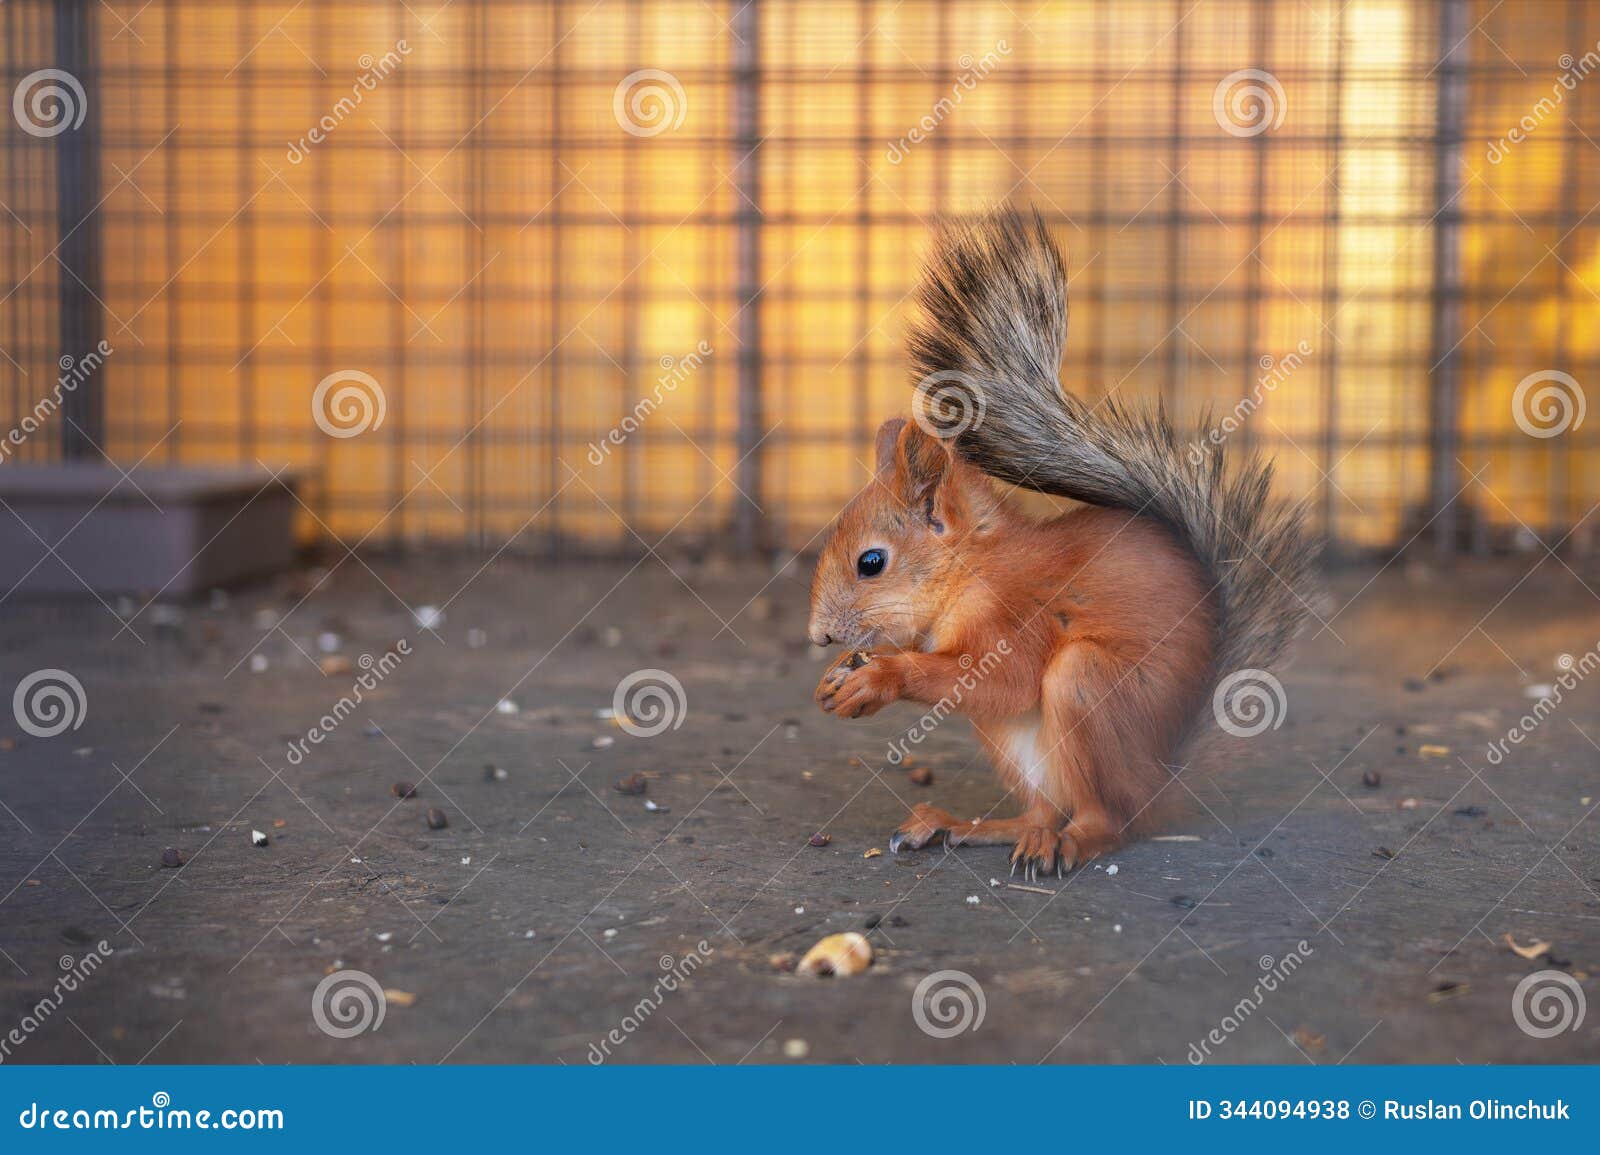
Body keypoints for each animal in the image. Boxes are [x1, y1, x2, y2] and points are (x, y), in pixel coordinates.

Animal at [808, 205, 1314, 880]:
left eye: (871, 562)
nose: (819, 636)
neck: (971, 572)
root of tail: (1160, 780)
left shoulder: (1015, 618)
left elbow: (1007, 679)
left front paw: (879, 677)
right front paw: (837, 678)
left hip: (1087, 686)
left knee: (1106, 818)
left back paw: (1070, 842)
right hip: (1012, 743)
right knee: (1045, 810)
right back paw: (969, 826)